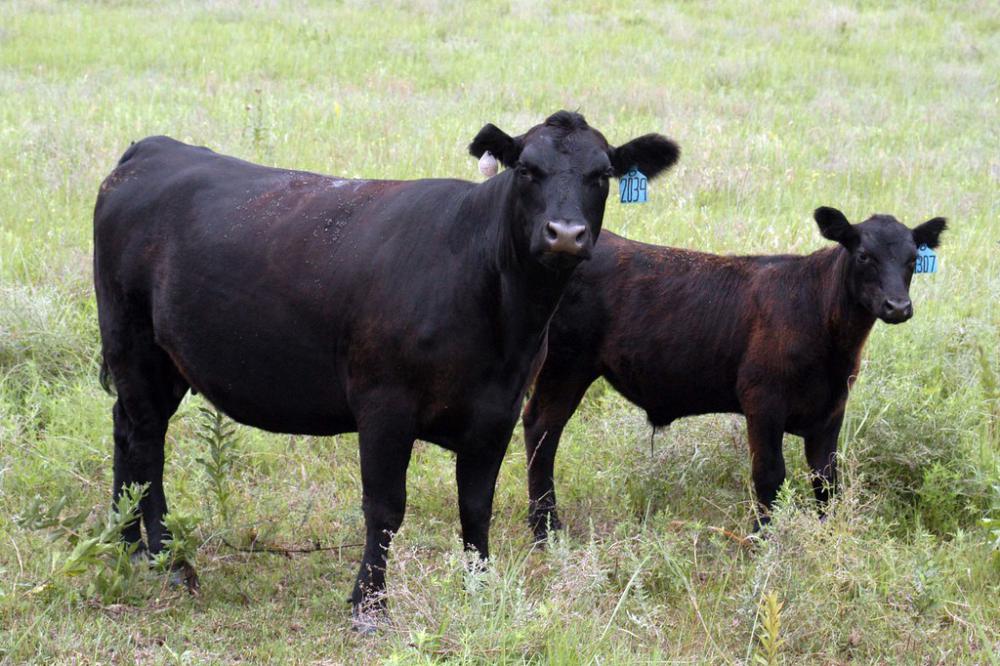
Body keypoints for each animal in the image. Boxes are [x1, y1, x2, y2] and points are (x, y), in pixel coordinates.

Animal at [93, 111, 680, 628]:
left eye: (601, 175)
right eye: (526, 170)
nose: (565, 234)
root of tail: (153, 148)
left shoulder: (498, 411)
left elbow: (476, 505)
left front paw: (480, 588)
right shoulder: (384, 405)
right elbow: (386, 508)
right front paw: (369, 606)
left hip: (164, 360)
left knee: (127, 432)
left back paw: (128, 544)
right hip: (132, 343)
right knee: (146, 441)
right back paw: (166, 559)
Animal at [522, 207, 947, 542]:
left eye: (913, 259)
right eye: (863, 255)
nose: (898, 306)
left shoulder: (831, 408)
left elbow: (827, 481)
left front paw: (827, 538)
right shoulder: (763, 401)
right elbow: (770, 475)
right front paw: (762, 540)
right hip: (565, 364)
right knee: (542, 428)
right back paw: (546, 529)